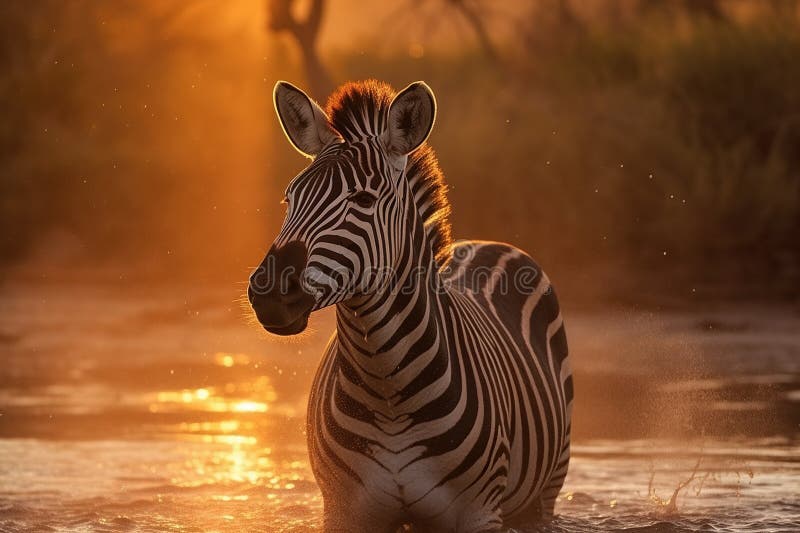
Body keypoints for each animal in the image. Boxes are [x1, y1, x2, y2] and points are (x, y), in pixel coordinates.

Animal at [248, 79, 573, 532]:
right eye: (289, 198)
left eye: (364, 200)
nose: (270, 294)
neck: (388, 387)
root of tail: (486, 242)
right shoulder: (343, 510)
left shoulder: (479, 513)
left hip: (546, 490)